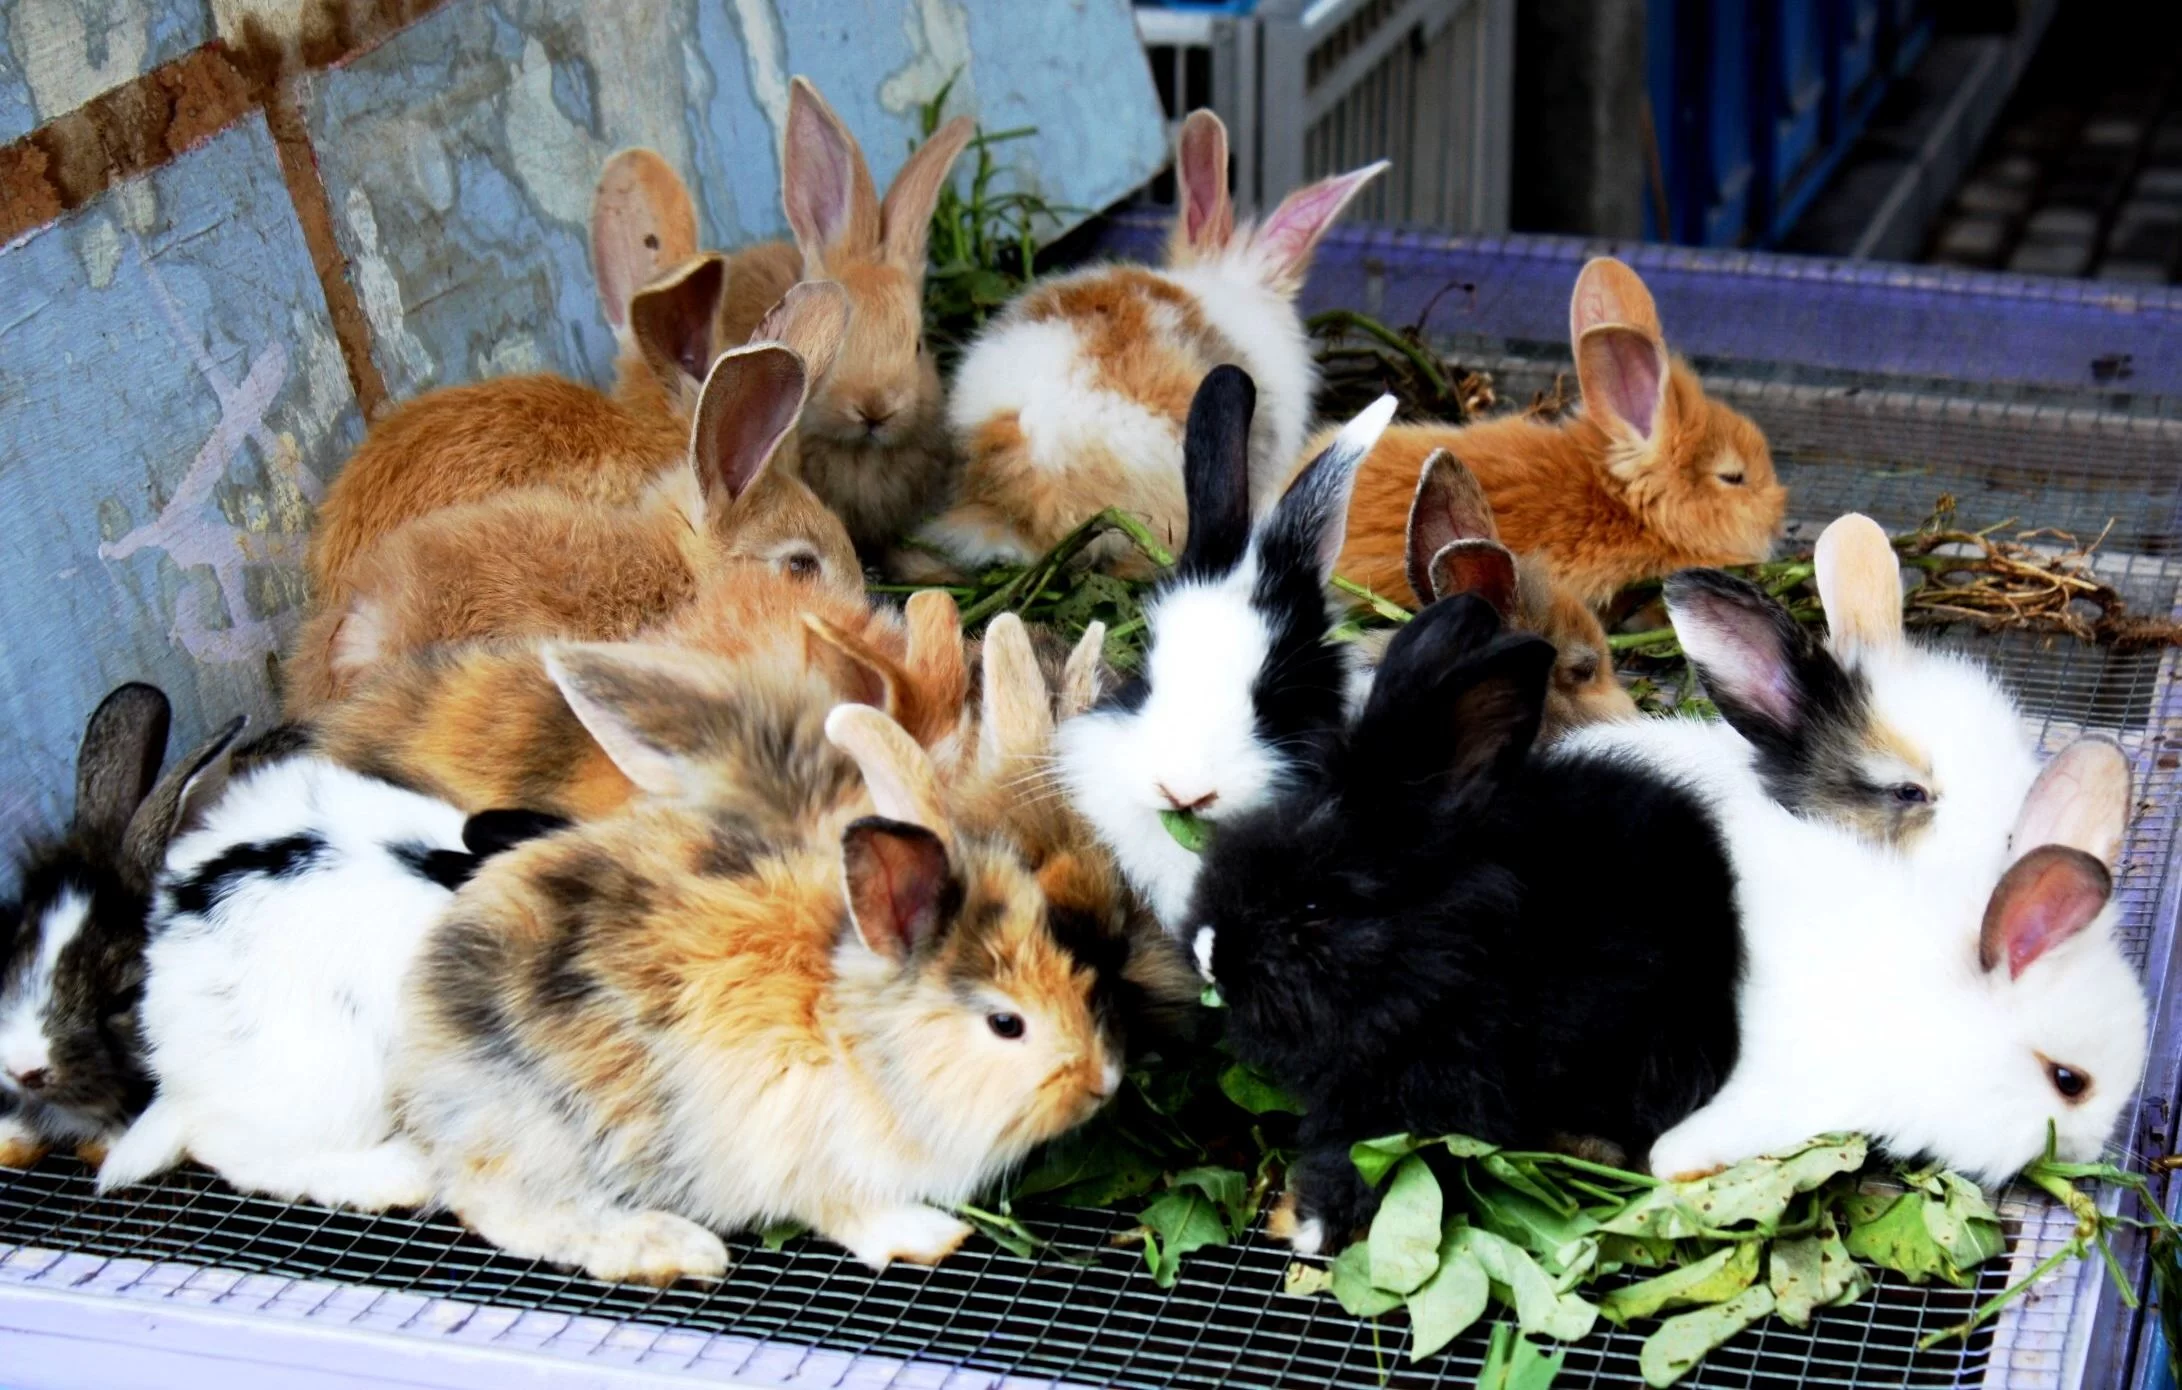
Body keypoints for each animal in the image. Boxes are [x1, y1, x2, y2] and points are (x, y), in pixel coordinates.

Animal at [393, 646, 1120, 1282]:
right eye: (1006, 1024)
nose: (1103, 1083)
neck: (860, 1043)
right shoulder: (795, 1151)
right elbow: (842, 1207)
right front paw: (929, 1237)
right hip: (550, 1132)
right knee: (503, 1206)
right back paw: (673, 1249)